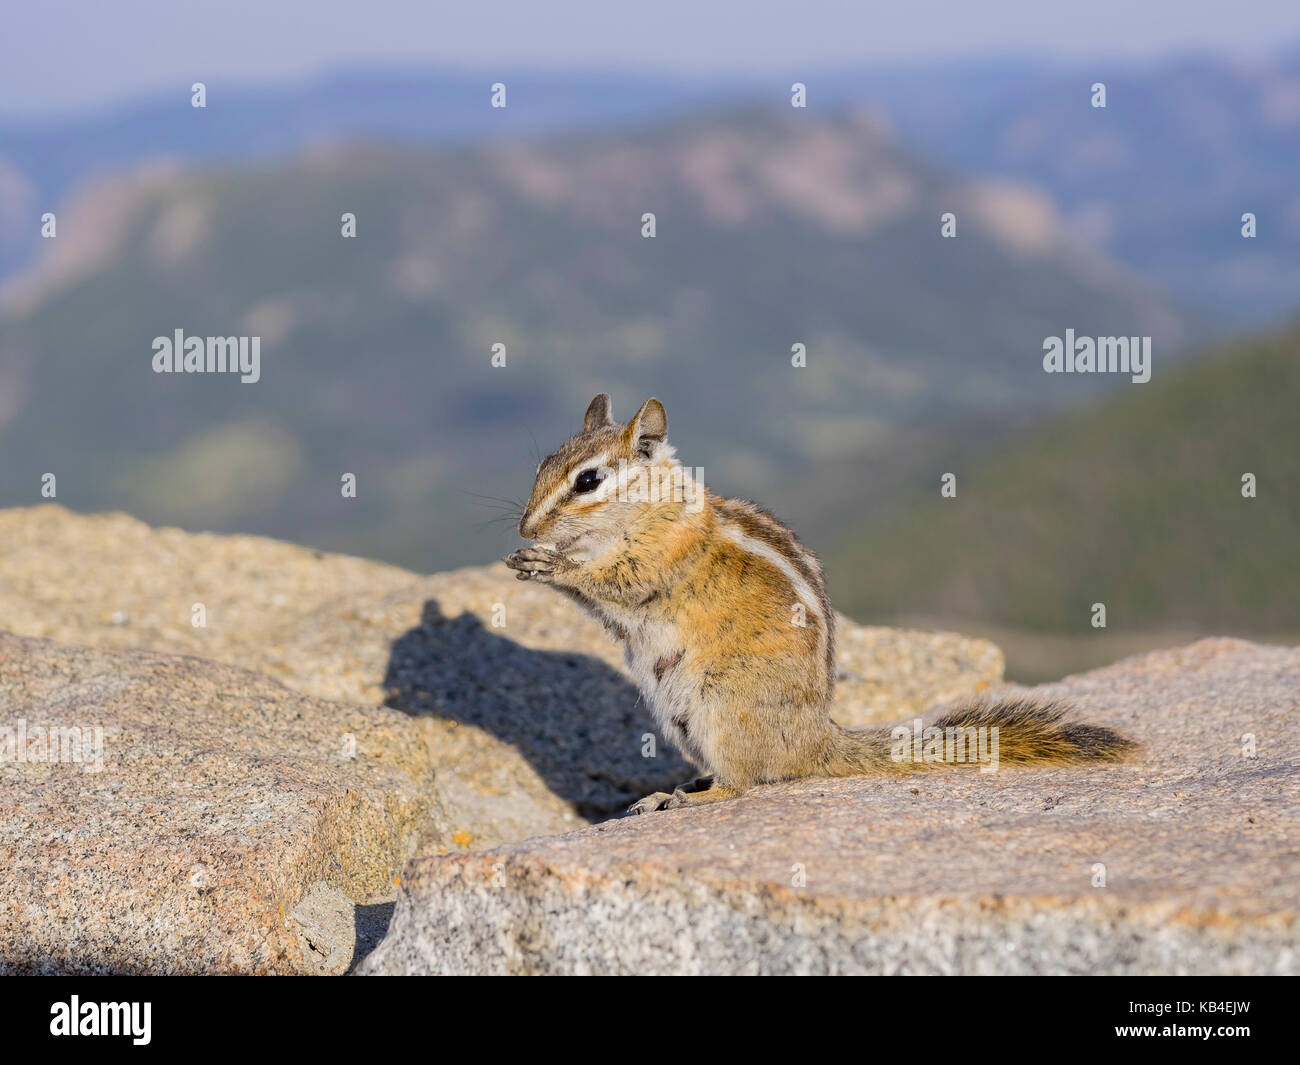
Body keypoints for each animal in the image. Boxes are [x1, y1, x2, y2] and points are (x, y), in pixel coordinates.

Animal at [506, 394, 1135, 814]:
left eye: (588, 481)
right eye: (541, 466)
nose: (526, 527)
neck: (653, 507)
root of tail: (817, 740)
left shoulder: (659, 559)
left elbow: (616, 583)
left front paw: (548, 565)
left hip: (720, 708)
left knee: (746, 781)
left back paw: (688, 798)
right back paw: (679, 787)